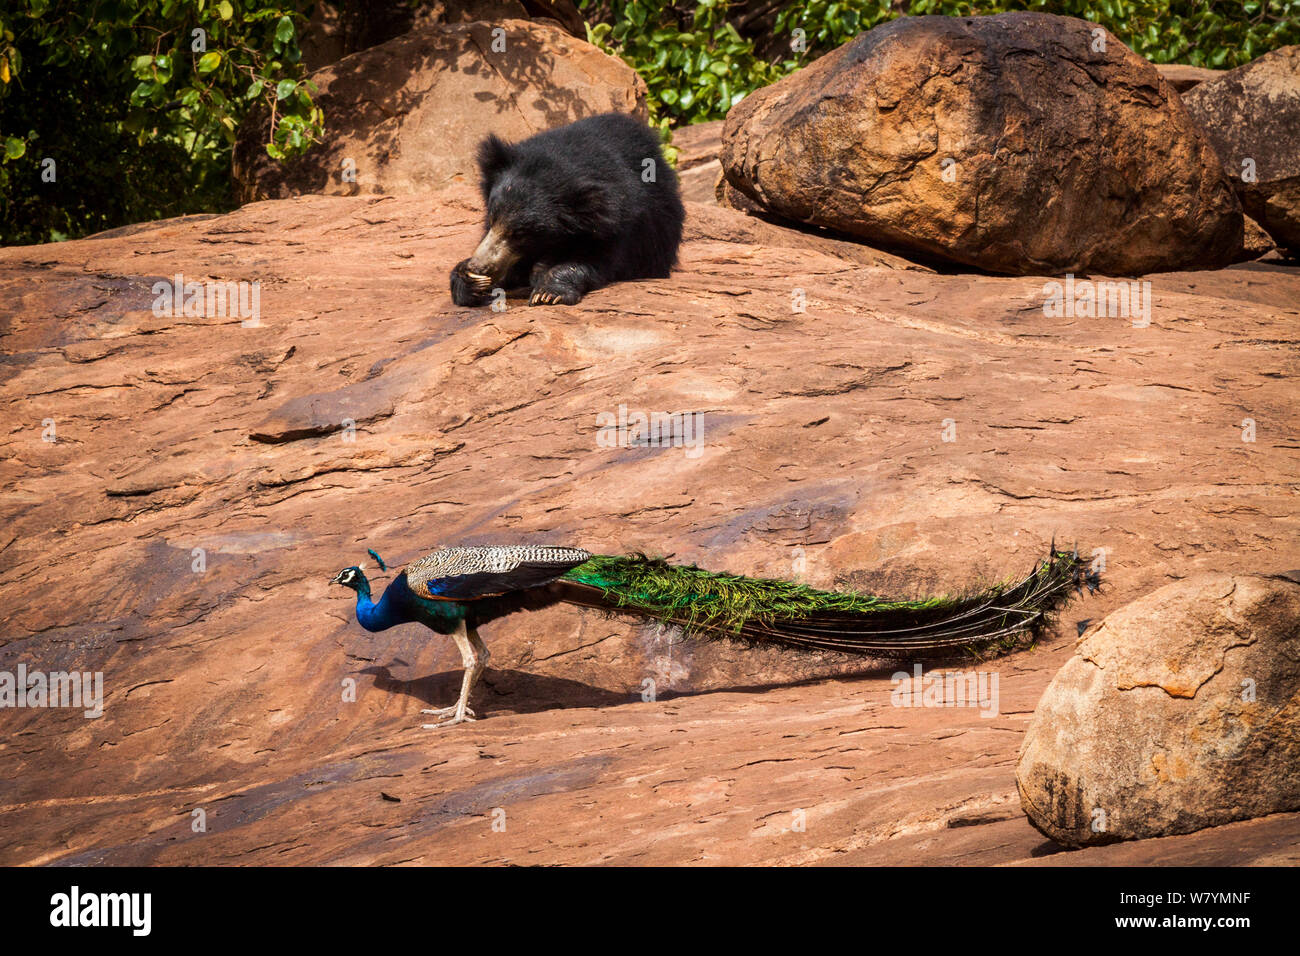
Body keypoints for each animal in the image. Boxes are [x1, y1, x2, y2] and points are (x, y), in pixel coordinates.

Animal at [449, 112, 685, 307]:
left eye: (520, 234)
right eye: (492, 218)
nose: (479, 267)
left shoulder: (622, 222)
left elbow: (599, 261)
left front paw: (547, 292)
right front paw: (470, 281)